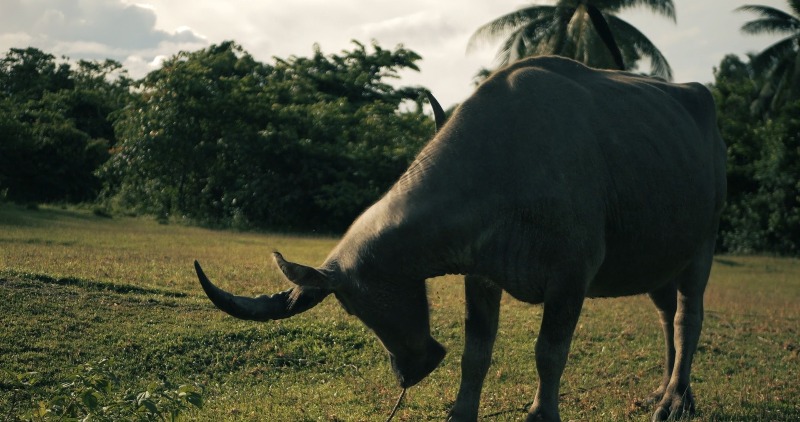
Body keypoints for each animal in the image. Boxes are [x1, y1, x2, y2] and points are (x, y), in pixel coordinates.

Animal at [195, 56, 727, 422]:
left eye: (350, 307)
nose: (410, 371)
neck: (503, 169)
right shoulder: (481, 274)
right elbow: (477, 352)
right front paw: (460, 411)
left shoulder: (572, 277)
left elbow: (549, 352)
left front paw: (542, 413)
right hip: (659, 260)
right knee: (666, 318)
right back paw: (668, 393)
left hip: (701, 247)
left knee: (689, 319)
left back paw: (674, 401)